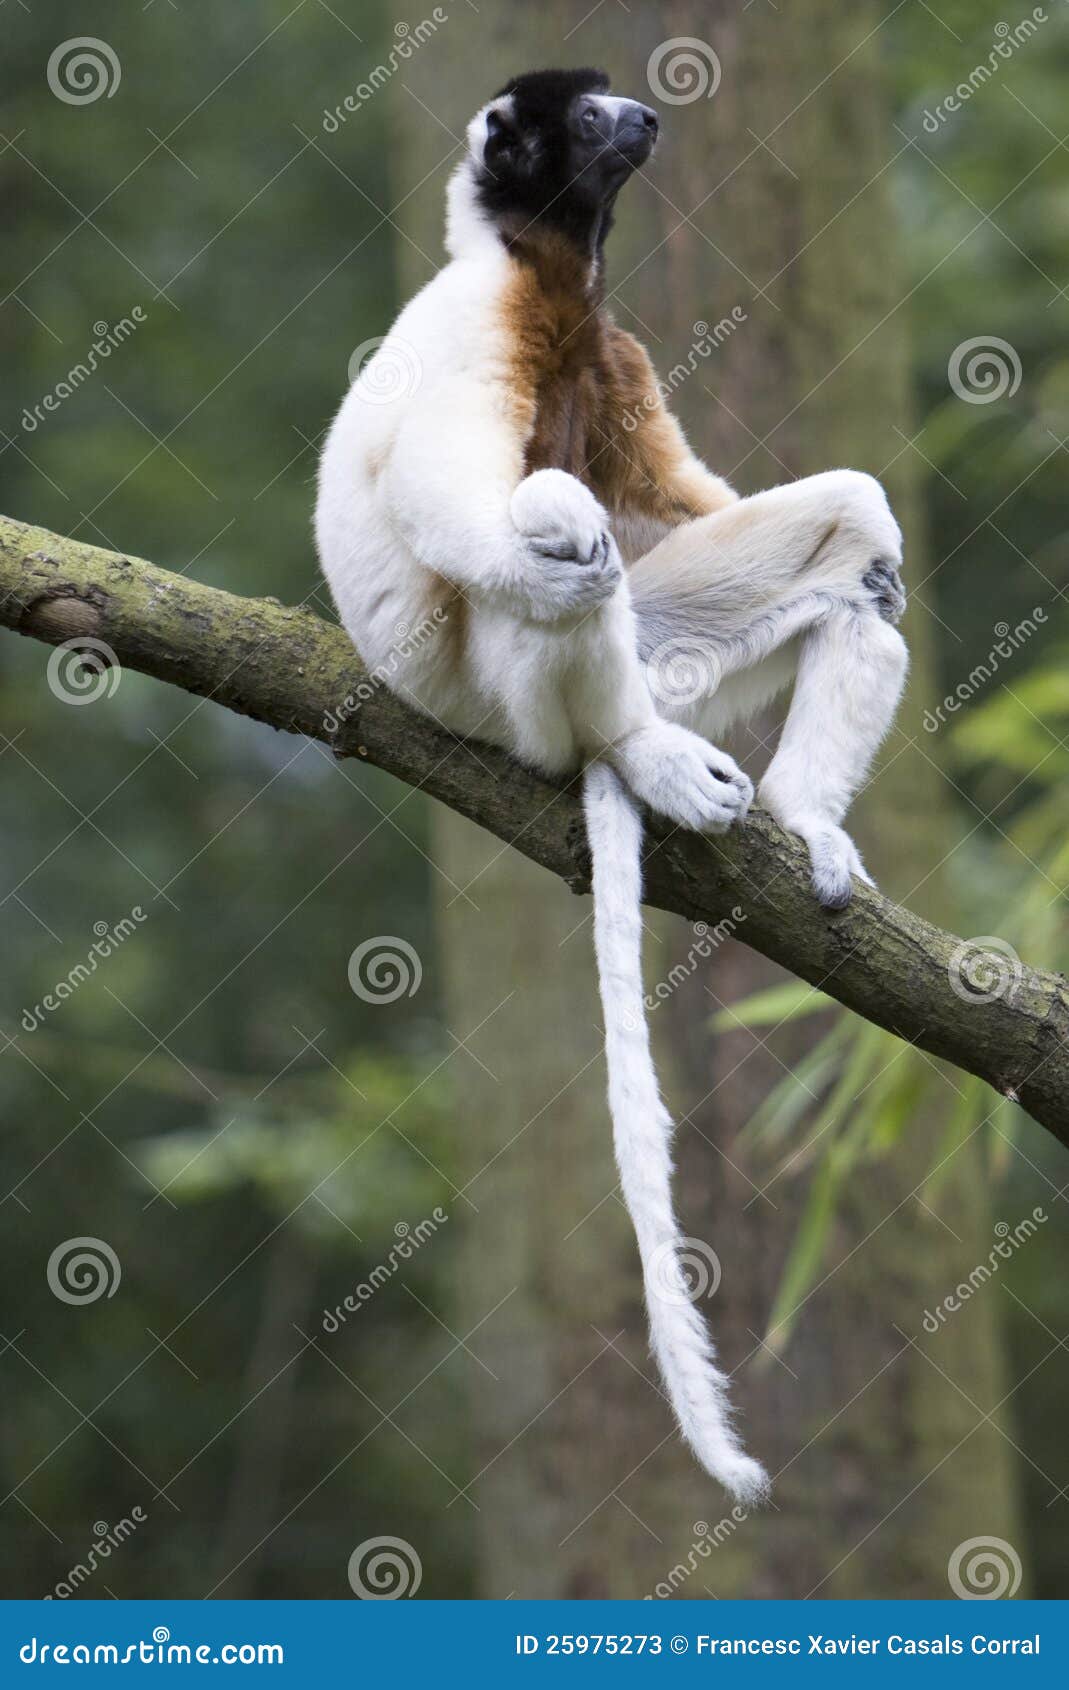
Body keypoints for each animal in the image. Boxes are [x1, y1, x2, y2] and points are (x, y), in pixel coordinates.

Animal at [315, 68, 908, 1504]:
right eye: (583, 123)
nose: (642, 120)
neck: (551, 276)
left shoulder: (613, 350)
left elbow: (688, 497)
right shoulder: (484, 322)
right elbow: (467, 500)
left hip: (672, 653)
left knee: (843, 541)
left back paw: (793, 810)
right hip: (508, 693)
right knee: (556, 531)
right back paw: (636, 756)